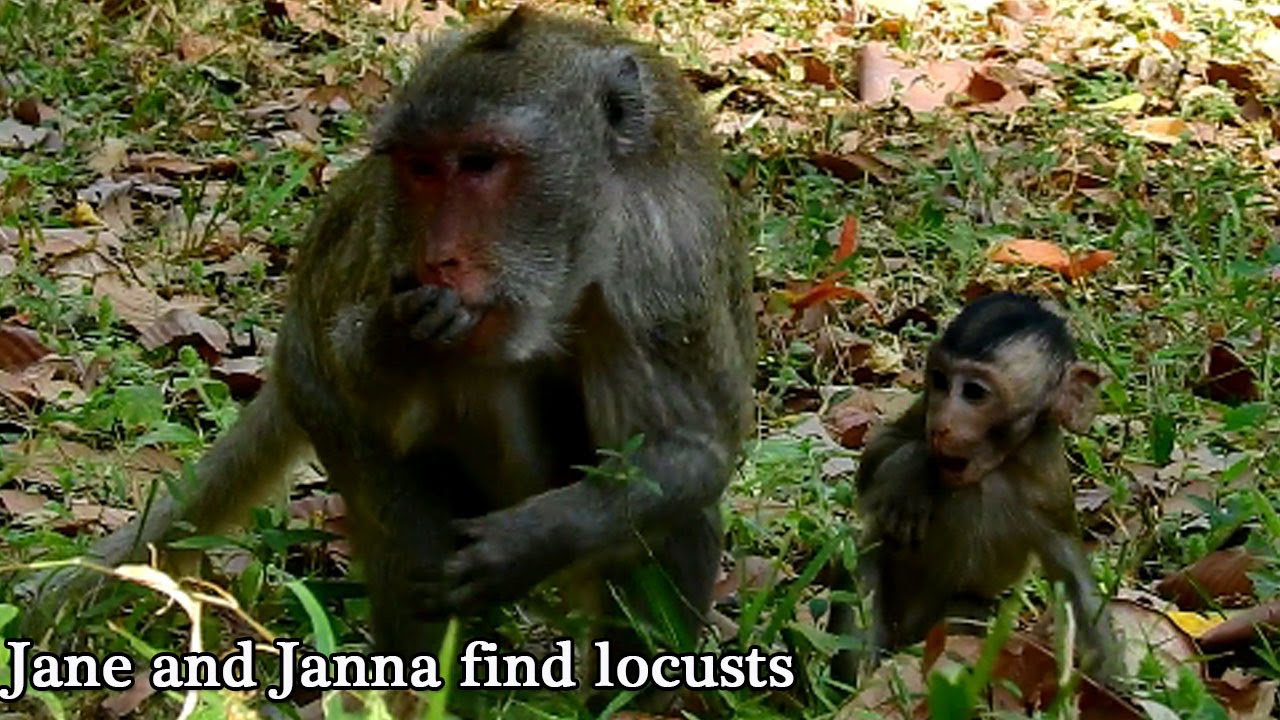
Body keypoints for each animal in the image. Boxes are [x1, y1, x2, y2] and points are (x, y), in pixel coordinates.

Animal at [25, 6, 754, 675]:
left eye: (481, 162)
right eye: (421, 168)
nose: (439, 259)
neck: (583, 244)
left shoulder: (666, 258)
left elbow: (691, 452)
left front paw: (527, 543)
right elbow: (361, 362)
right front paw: (396, 339)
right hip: (319, 397)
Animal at [827, 292, 1114, 686]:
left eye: (974, 392)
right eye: (940, 381)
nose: (941, 424)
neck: (995, 469)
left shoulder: (1049, 490)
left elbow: (1074, 581)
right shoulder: (922, 409)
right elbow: (878, 454)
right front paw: (917, 471)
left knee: (961, 616)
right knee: (861, 557)